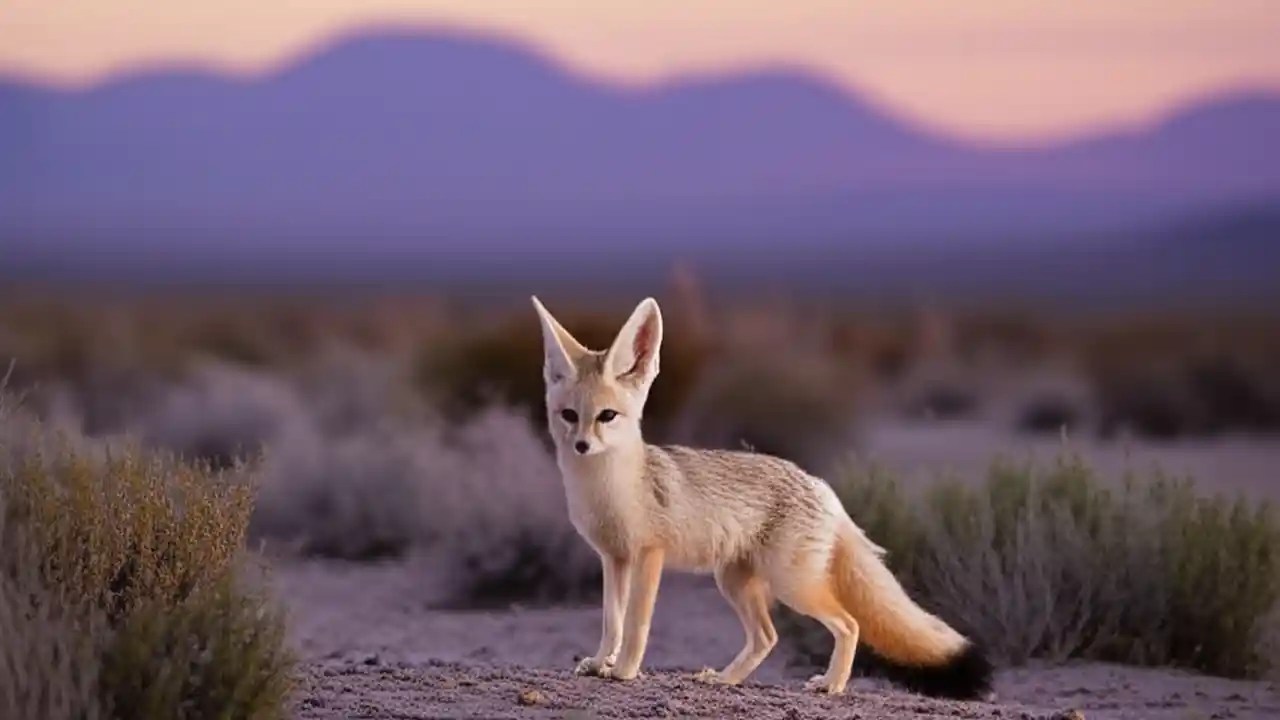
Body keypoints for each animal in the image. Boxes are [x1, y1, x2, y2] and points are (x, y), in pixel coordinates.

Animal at [530, 295, 993, 700]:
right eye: (569, 416)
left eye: (607, 416)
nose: (582, 446)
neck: (609, 487)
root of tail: (821, 484)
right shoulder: (614, 559)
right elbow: (612, 621)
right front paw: (599, 662)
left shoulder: (648, 556)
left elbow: (636, 624)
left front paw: (624, 670)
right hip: (735, 582)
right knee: (767, 638)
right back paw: (725, 680)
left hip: (792, 585)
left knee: (849, 624)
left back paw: (832, 685)